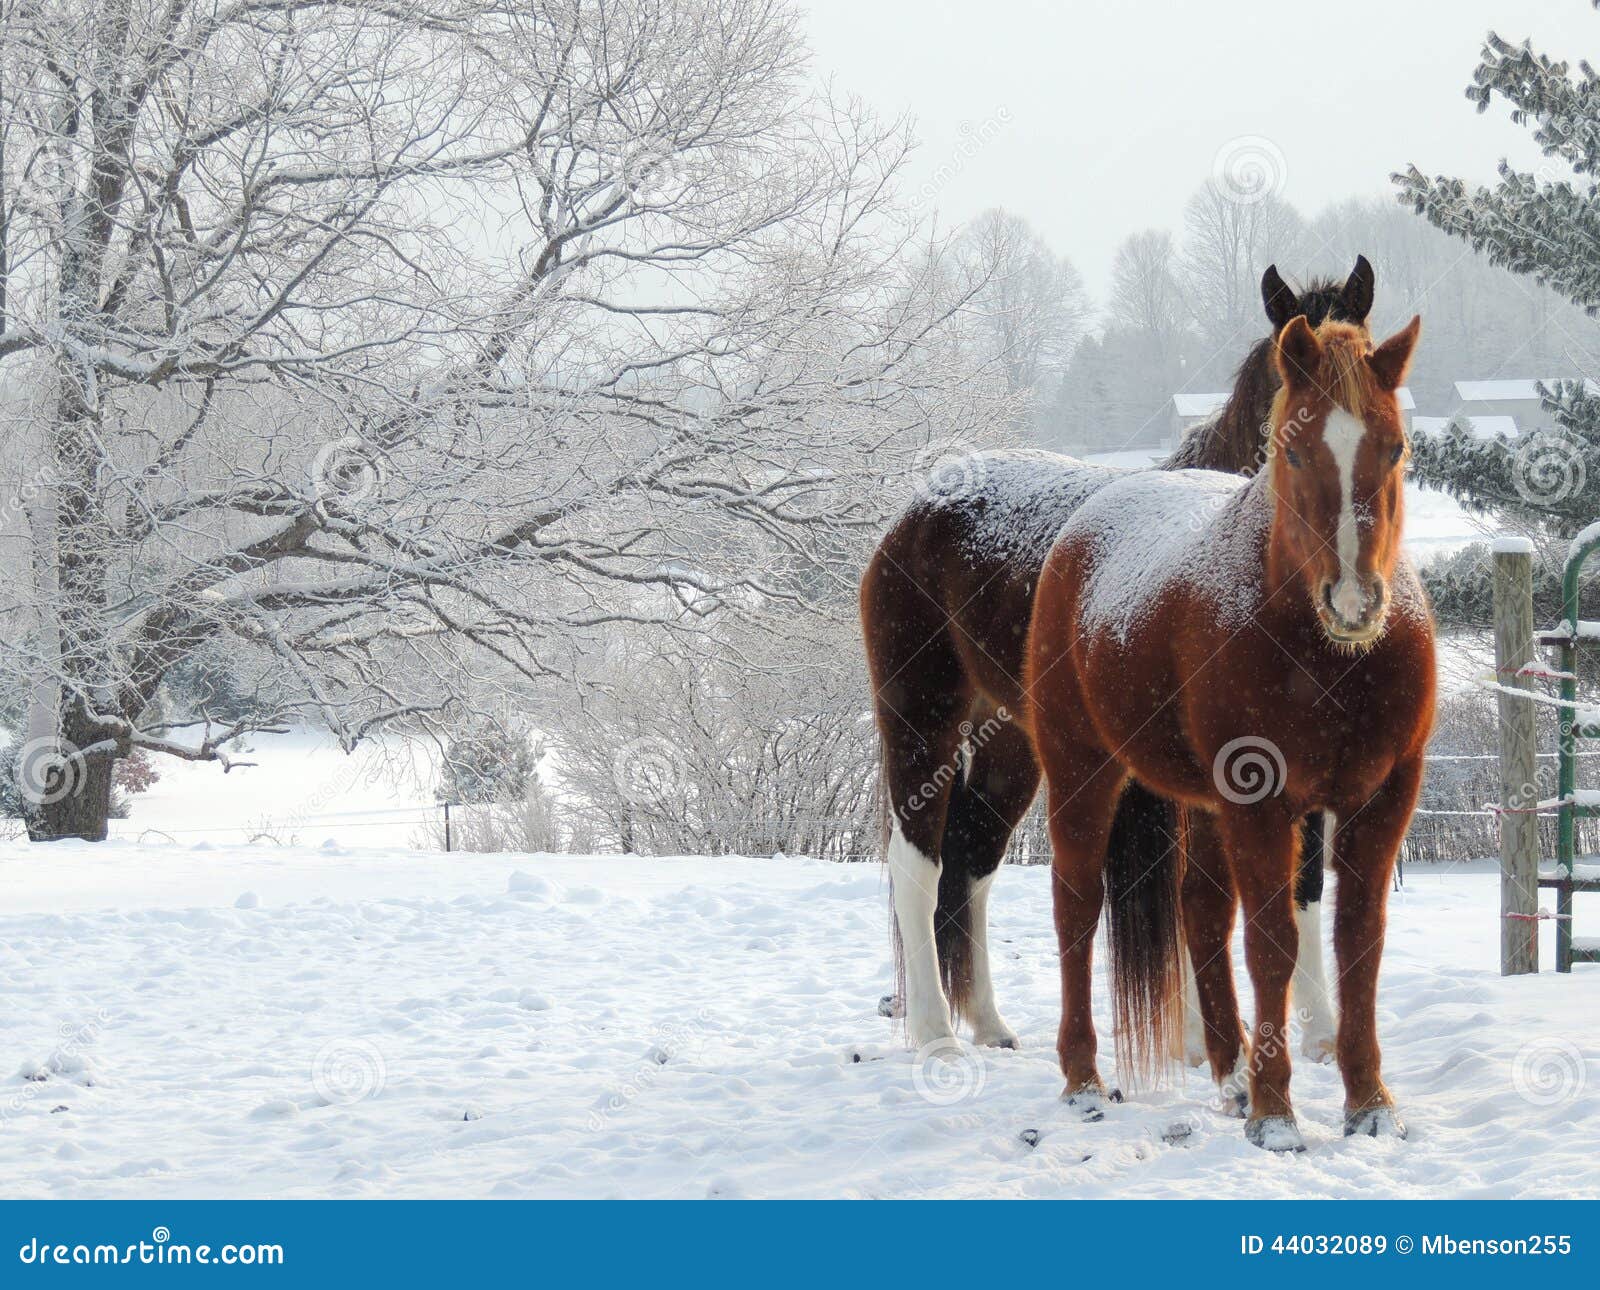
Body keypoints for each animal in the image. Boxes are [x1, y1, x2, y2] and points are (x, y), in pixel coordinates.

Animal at [860, 259, 1375, 1067]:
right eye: (1290, 382)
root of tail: (914, 517)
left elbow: (1299, 887)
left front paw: (1317, 1034)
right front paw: (1204, 1040)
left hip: (1011, 740)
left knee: (971, 859)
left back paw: (990, 1023)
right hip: (921, 719)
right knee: (918, 866)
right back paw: (938, 1037)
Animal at [1019, 315, 1431, 1150]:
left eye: (1395, 445)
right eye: (1293, 450)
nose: (1354, 602)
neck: (1325, 658)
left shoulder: (1381, 801)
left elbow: (1358, 945)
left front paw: (1368, 1102)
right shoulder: (1262, 806)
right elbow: (1273, 946)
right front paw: (1277, 1114)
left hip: (1205, 808)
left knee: (1201, 911)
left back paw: (1232, 1071)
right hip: (1083, 771)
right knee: (1076, 905)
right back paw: (1084, 1078)